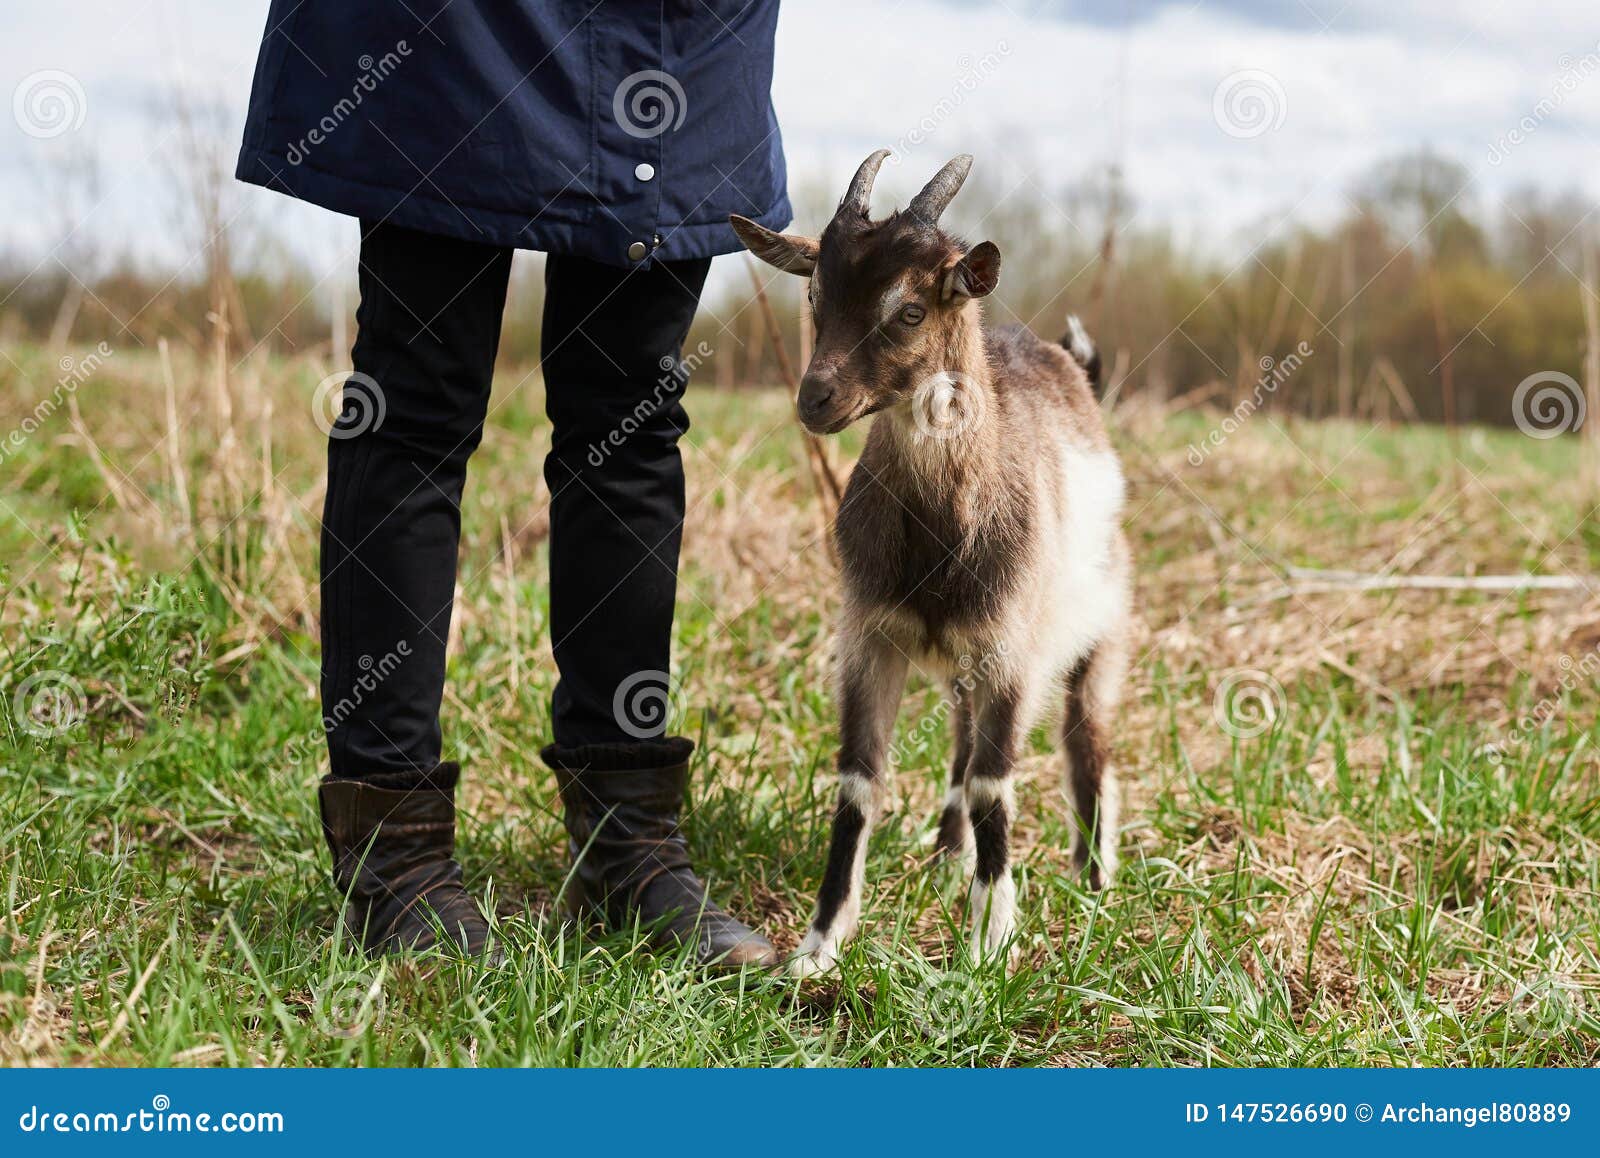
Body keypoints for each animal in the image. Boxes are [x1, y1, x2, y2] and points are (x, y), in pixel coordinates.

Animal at [731, 151, 1133, 973]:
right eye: (814, 293)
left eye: (911, 310)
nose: (816, 398)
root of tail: (1071, 365)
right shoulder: (870, 637)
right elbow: (859, 782)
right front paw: (819, 946)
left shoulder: (1012, 651)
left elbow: (993, 785)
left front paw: (988, 944)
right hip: (959, 662)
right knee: (959, 739)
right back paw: (948, 859)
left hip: (1099, 630)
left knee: (1086, 746)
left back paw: (1092, 883)